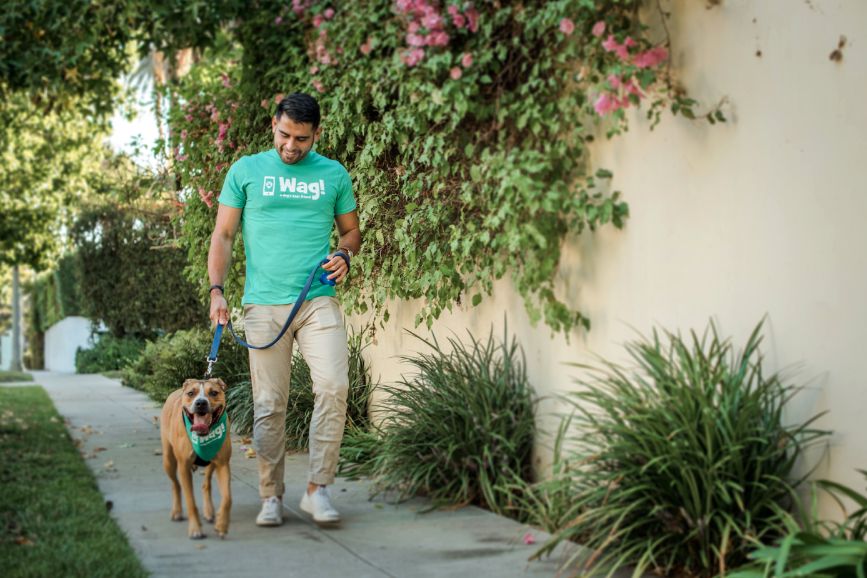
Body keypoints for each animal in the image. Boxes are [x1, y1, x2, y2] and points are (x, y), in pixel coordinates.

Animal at [161, 378, 232, 536]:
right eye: (191, 393)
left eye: (214, 393)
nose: (200, 403)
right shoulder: (183, 467)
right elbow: (190, 501)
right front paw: (195, 529)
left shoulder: (223, 464)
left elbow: (227, 498)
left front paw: (222, 524)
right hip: (168, 460)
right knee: (176, 484)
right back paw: (177, 511)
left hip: (212, 462)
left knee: (206, 484)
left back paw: (209, 511)